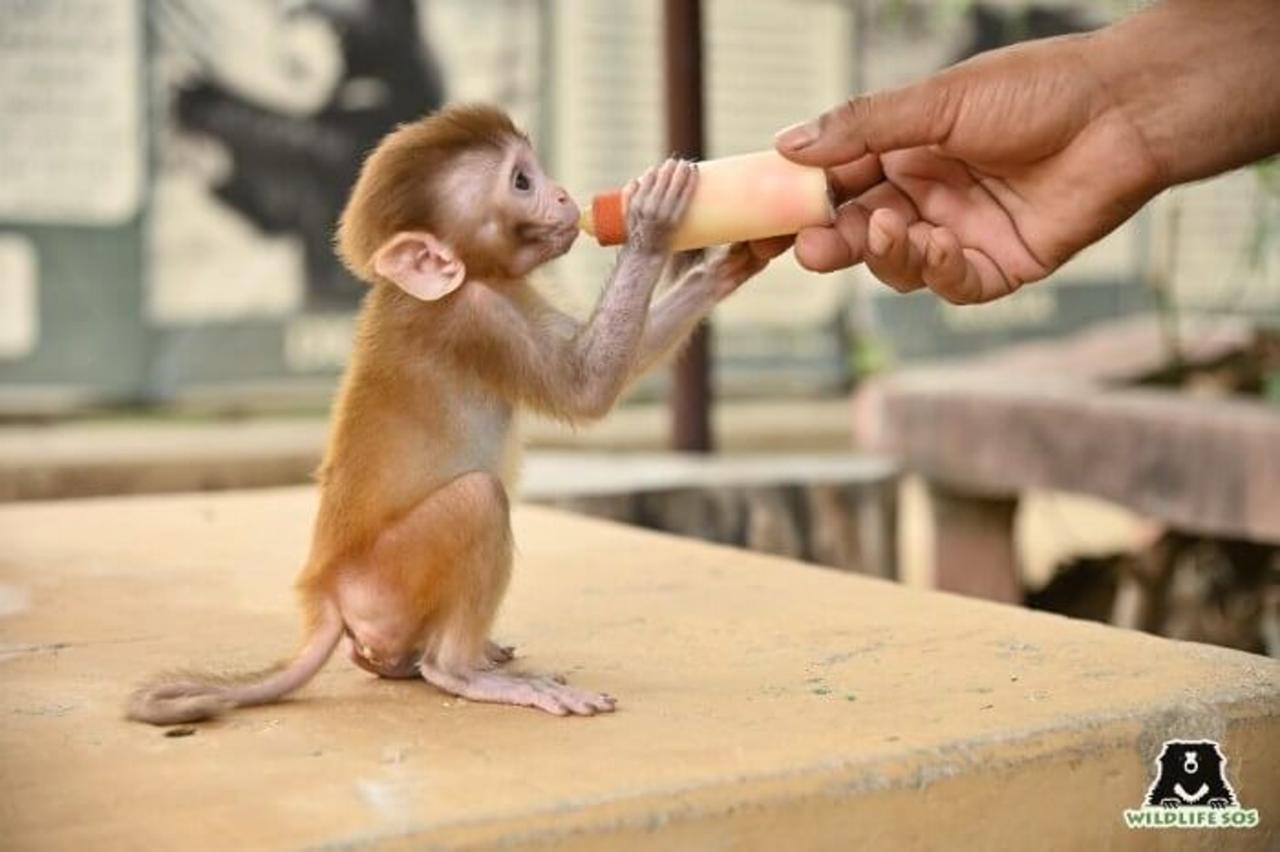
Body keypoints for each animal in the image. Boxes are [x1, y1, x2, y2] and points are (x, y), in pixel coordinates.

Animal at [128, 103, 790, 723]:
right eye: (521, 181)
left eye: (535, 171)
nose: (563, 195)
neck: (462, 277)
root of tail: (326, 595)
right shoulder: (475, 318)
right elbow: (585, 389)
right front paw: (653, 221)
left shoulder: (512, 292)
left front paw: (732, 260)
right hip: (387, 584)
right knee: (478, 500)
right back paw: (460, 671)